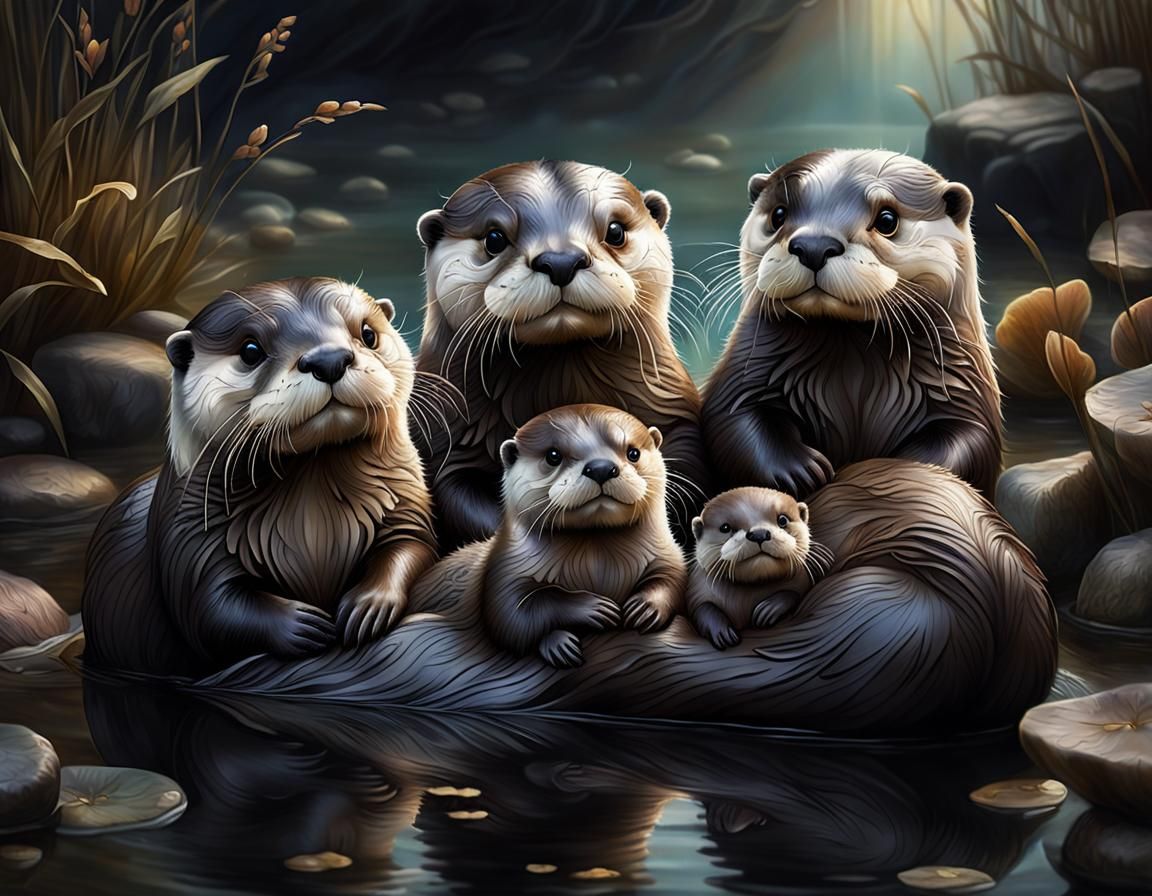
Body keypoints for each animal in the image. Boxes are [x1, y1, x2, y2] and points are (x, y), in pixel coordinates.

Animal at [81, 278, 437, 676]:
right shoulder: (189, 539)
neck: (314, 523)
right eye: (251, 350)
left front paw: (369, 604)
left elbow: (412, 544)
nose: (329, 359)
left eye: (368, 333)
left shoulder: (405, 499)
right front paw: (300, 625)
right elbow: (208, 607)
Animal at [412, 404, 685, 668]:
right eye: (553, 455)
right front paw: (588, 610)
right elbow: (514, 615)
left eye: (633, 453)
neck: (599, 566)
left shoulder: (666, 552)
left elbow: (672, 576)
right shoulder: (502, 573)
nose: (601, 468)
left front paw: (645, 607)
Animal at [688, 487, 826, 649]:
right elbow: (702, 608)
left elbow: (793, 593)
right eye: (725, 527)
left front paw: (768, 609)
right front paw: (722, 632)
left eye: (783, 520)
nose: (759, 534)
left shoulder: (802, 581)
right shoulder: (696, 590)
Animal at [702, 150, 1001, 498]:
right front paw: (800, 470)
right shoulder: (746, 373)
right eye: (778, 214)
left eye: (887, 220)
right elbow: (733, 420)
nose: (814, 246)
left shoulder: (963, 390)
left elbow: (970, 440)